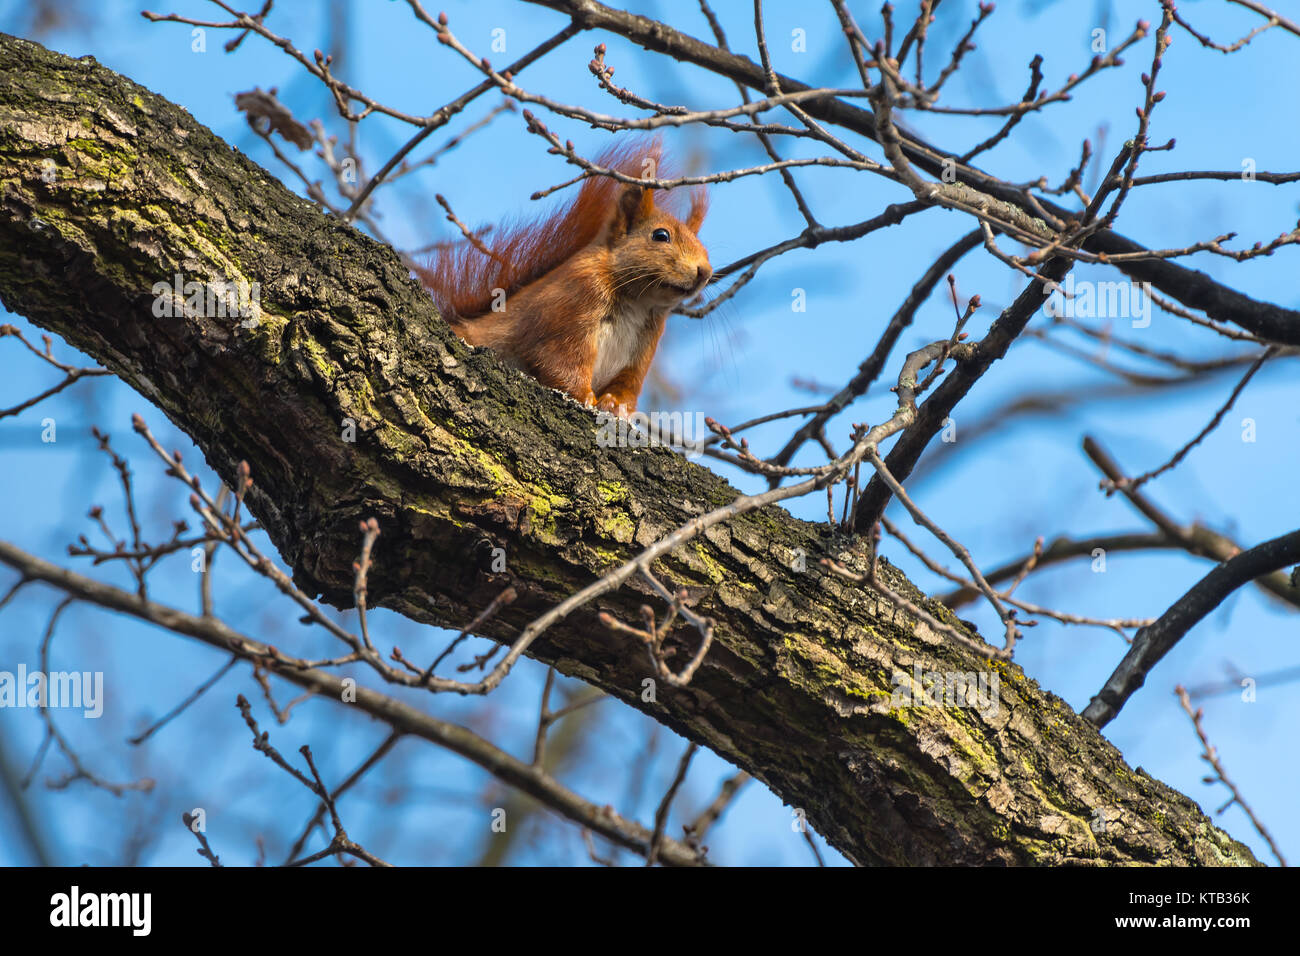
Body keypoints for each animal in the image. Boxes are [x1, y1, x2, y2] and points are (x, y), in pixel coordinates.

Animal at [421, 141, 712, 416]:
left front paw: (617, 407)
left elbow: (627, 385)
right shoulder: (573, 301)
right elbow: (558, 360)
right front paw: (585, 397)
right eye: (660, 235)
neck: (637, 302)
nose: (705, 272)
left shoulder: (642, 350)